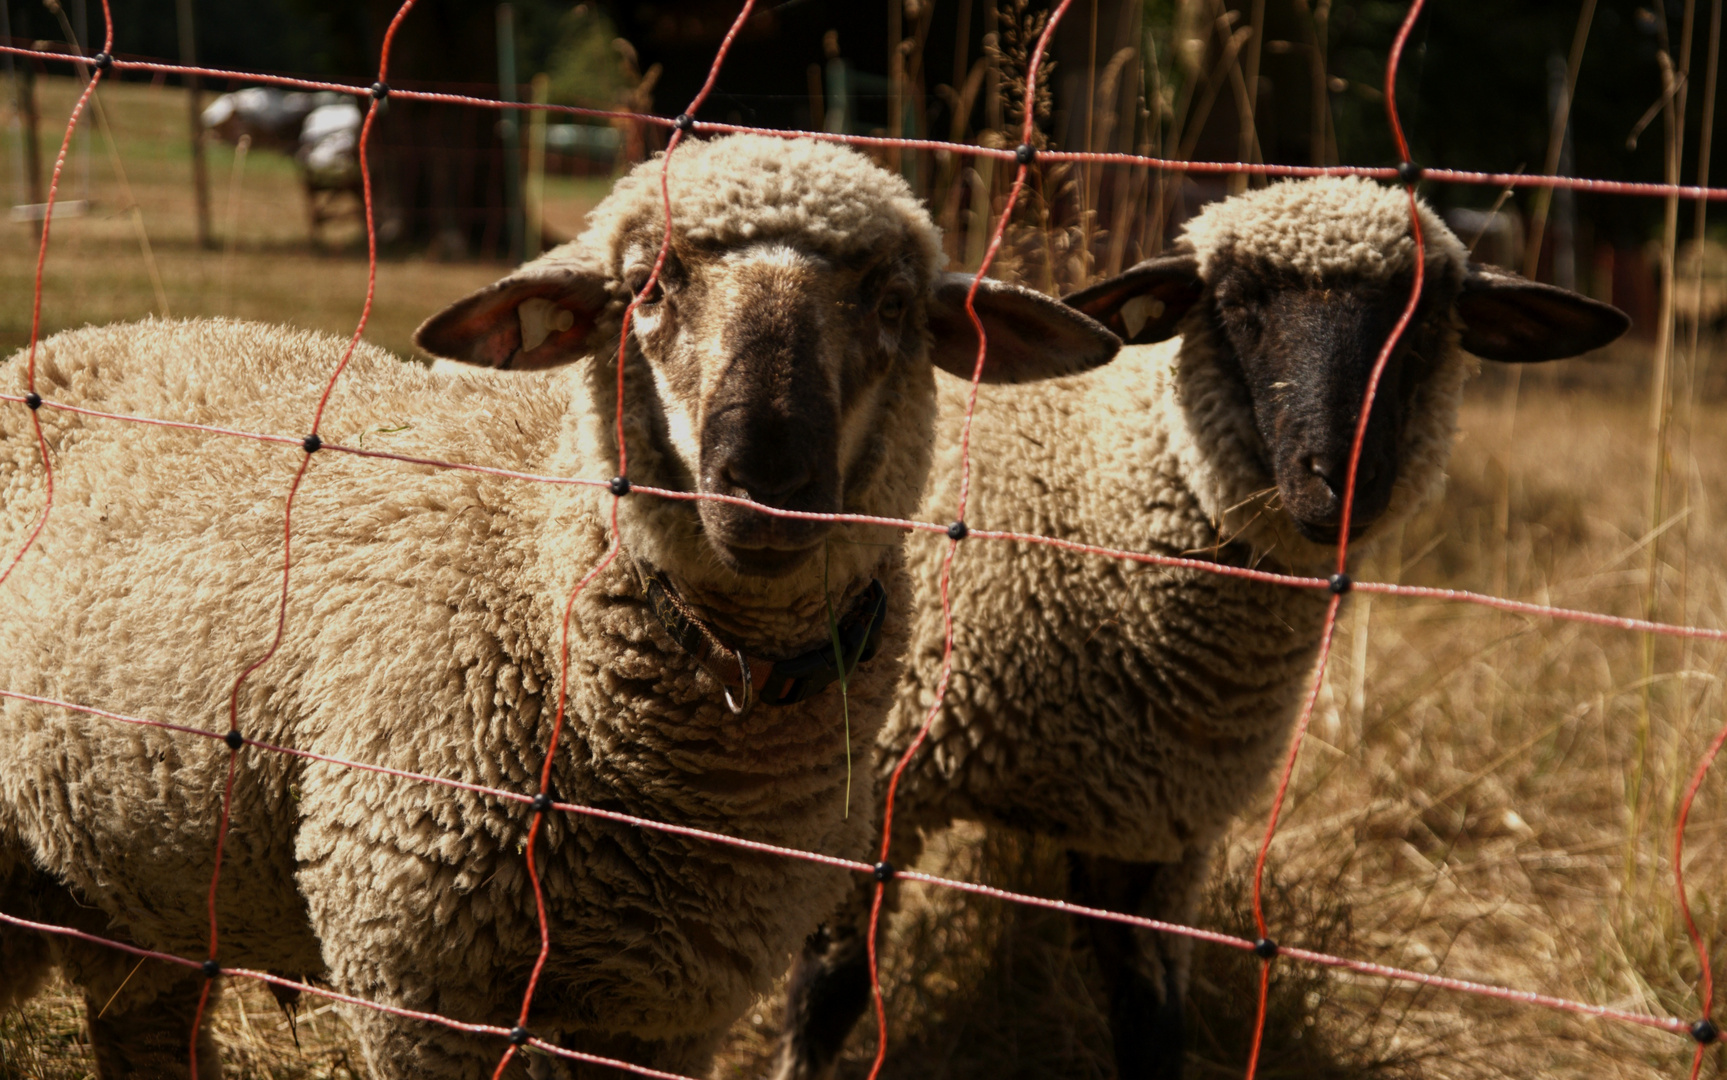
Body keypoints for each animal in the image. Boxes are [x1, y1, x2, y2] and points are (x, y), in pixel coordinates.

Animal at [0, 133, 1120, 1079]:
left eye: (891, 301)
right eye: (651, 290)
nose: (765, 480)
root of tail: (58, 348)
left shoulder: (667, 1013)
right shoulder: (421, 988)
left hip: (134, 898)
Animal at [771, 175, 1630, 1080]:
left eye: (1427, 317)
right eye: (1239, 301)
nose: (1341, 478)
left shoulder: (1154, 830)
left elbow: (1150, 1020)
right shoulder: (881, 784)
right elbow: (828, 991)